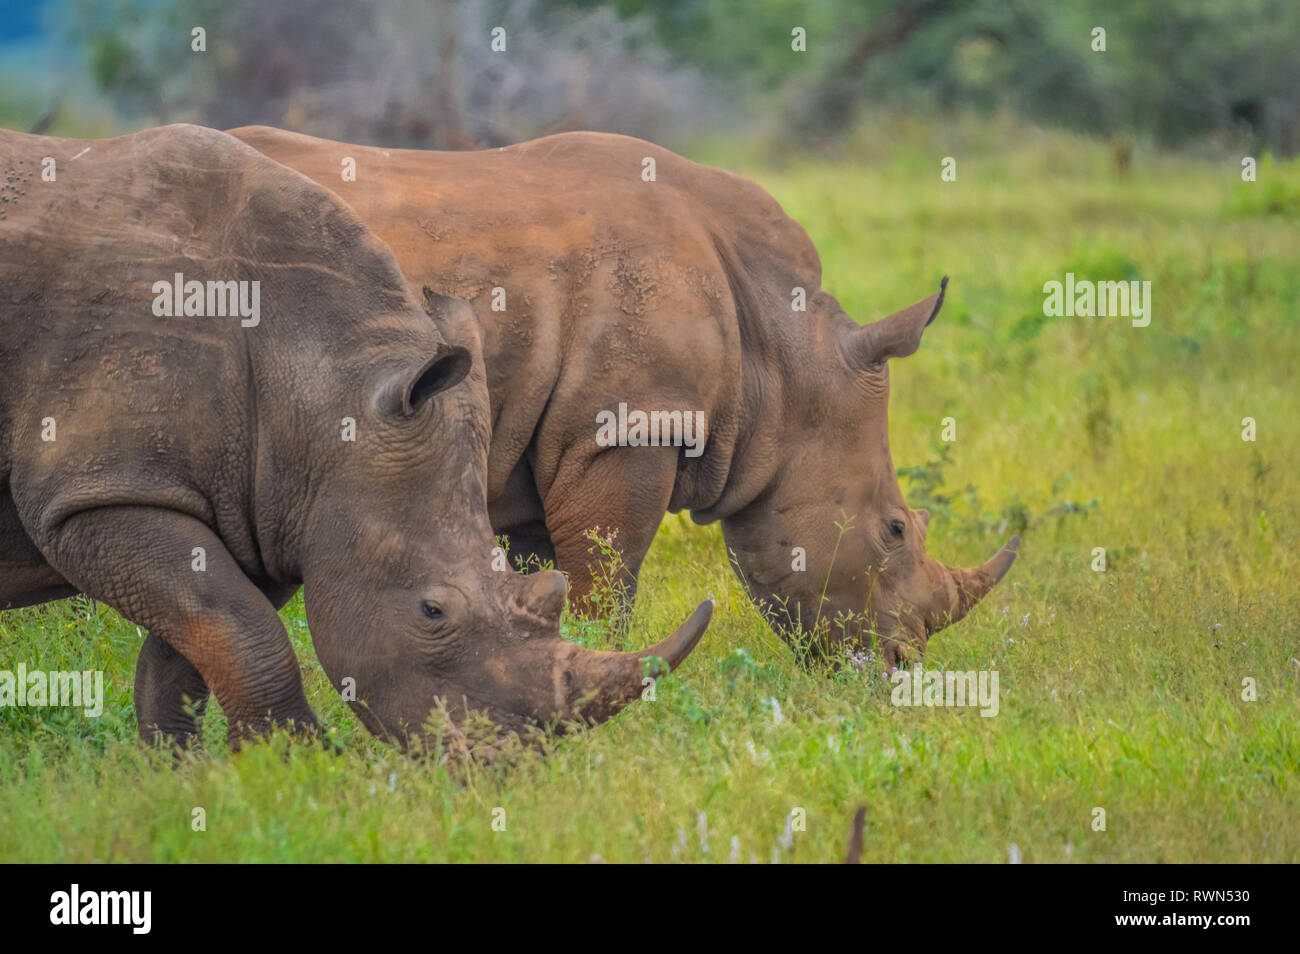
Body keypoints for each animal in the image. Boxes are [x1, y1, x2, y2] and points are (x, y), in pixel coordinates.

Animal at [0, 124, 711, 750]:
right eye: (432, 612)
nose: (508, 761)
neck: (315, 374)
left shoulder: (268, 505)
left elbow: (196, 642)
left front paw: (189, 774)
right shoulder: (97, 493)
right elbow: (240, 630)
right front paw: (303, 764)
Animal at [229, 126, 1016, 669]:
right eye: (895, 530)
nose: (901, 666)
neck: (782, 364)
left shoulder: (535, 442)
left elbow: (545, 579)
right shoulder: (623, 428)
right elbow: (604, 580)